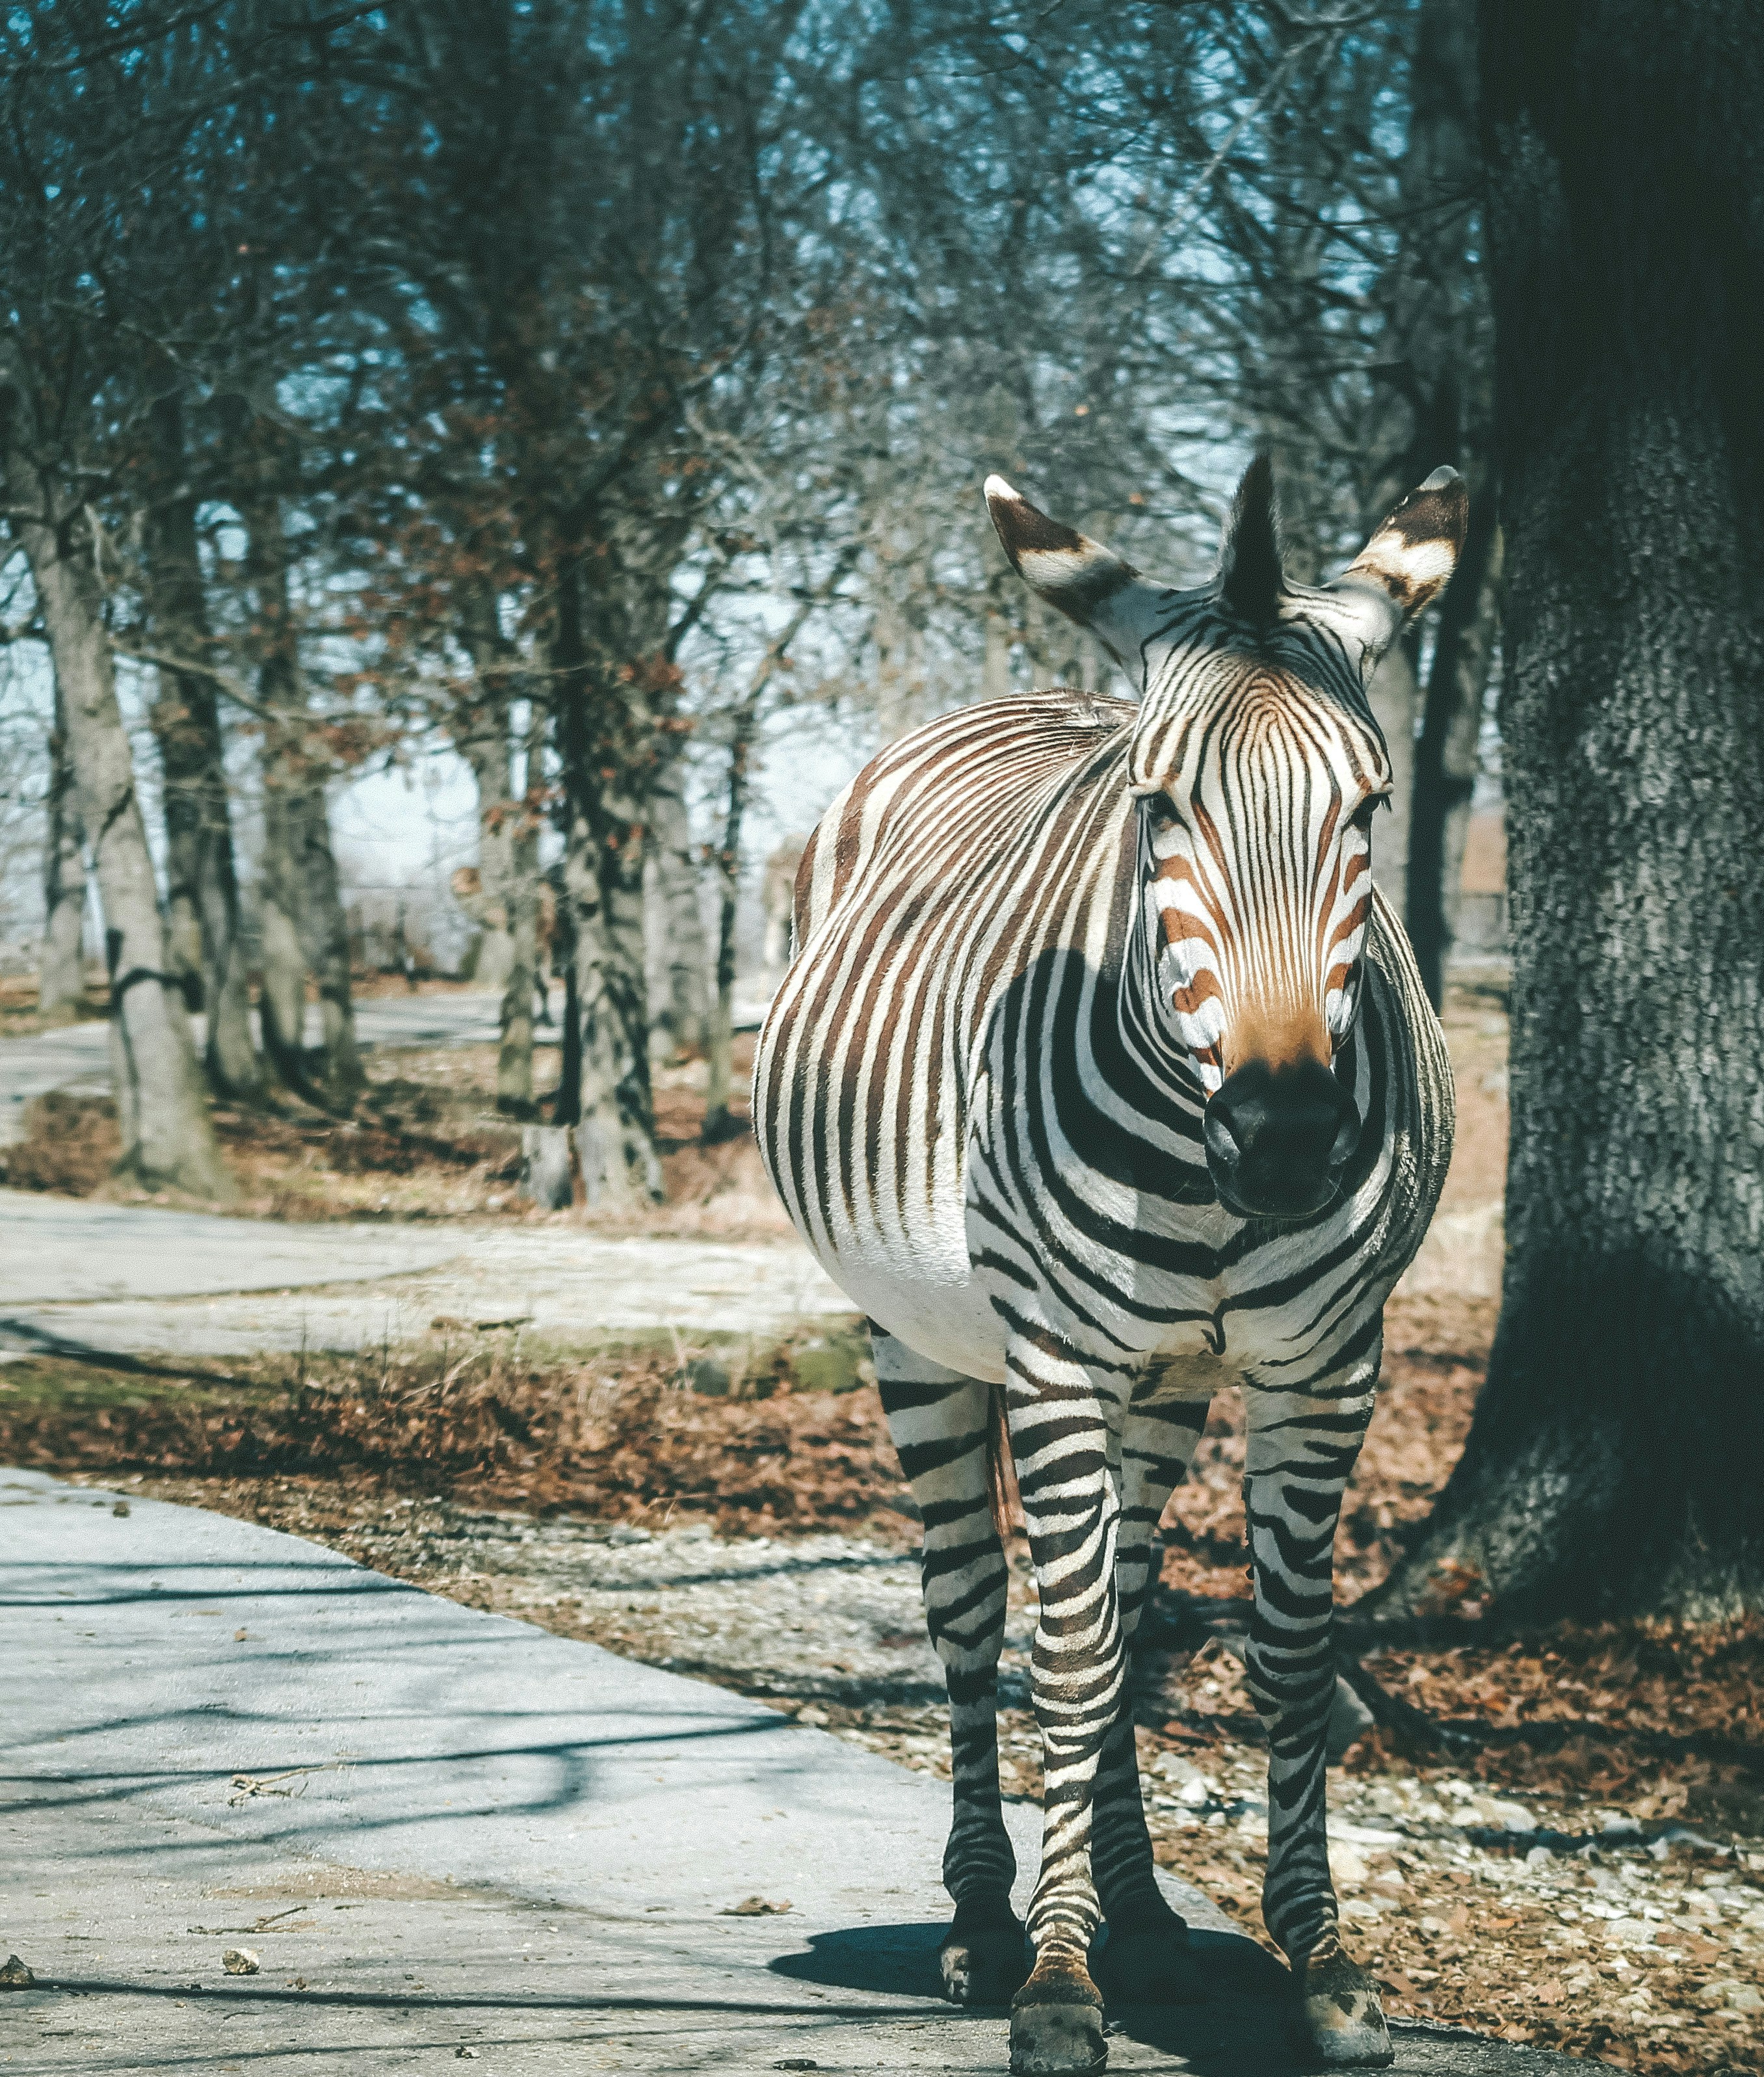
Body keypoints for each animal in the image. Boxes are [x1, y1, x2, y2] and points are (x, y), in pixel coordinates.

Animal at [755, 455, 1465, 2074]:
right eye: (1156, 805)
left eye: (1372, 804)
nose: (1285, 1139)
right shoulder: (1061, 1358)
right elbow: (1066, 1655)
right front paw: (1060, 1982)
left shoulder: (1328, 1367)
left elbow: (1282, 1660)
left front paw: (1322, 1965)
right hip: (921, 1342)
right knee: (971, 1613)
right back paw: (982, 1923)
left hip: (1170, 1375)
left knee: (1129, 1604)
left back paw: (1141, 1913)